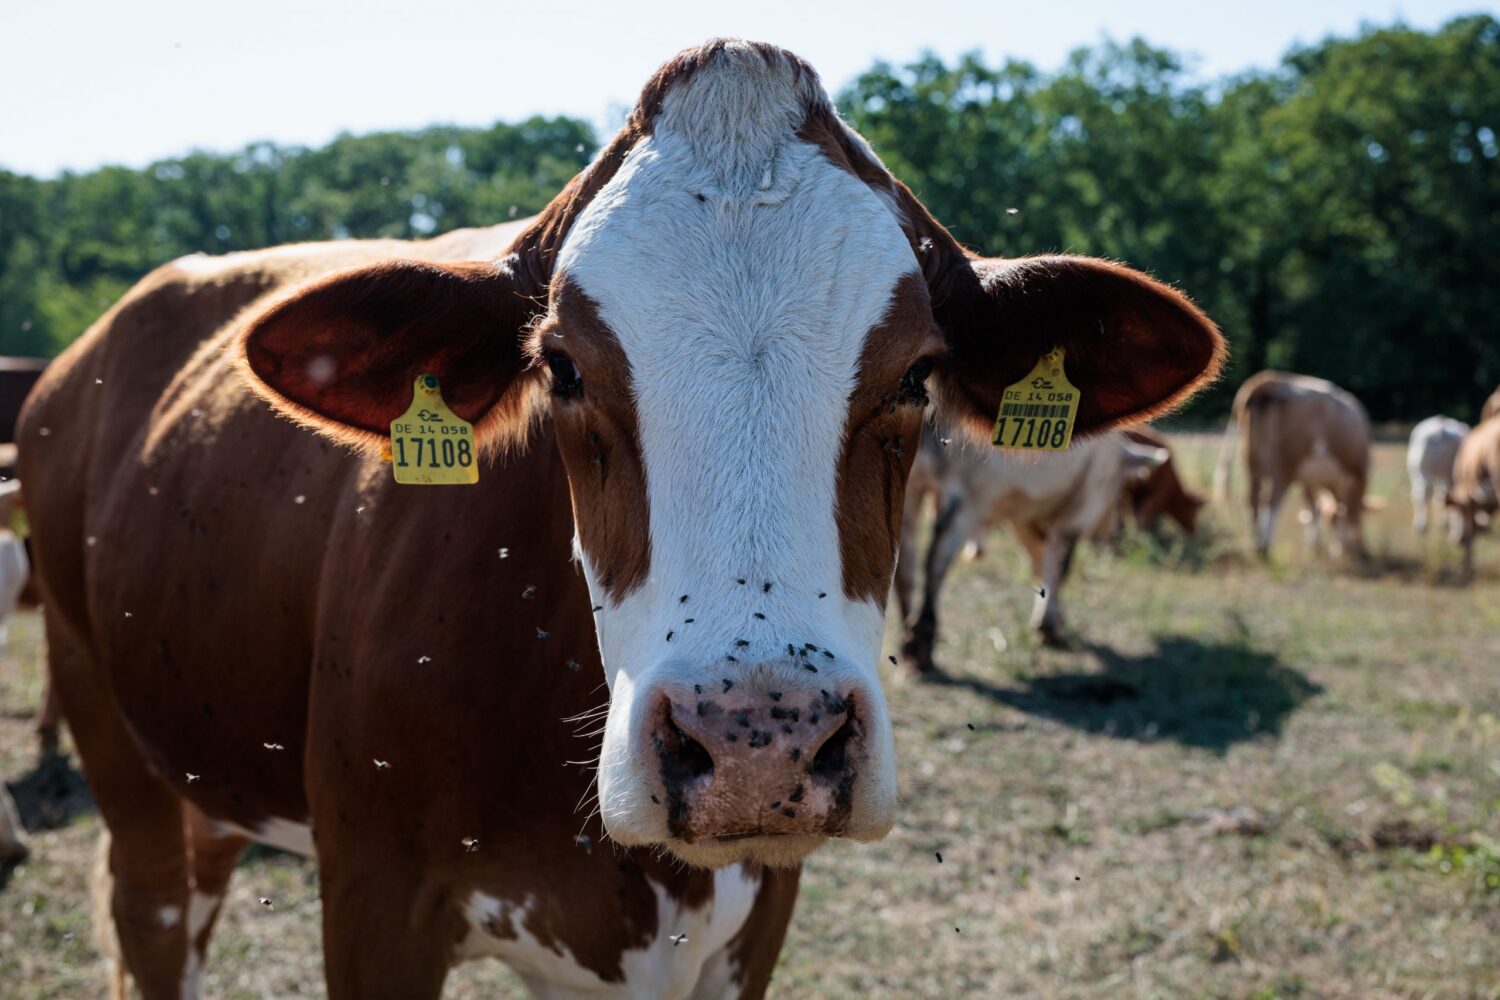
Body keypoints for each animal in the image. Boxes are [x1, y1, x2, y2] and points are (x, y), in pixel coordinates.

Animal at [896, 428, 1169, 664]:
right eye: (1119, 488)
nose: (1113, 531)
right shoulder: (1078, 510)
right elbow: (1060, 566)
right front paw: (1049, 628)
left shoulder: (1025, 516)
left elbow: (1040, 564)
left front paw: (1052, 619)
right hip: (971, 493)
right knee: (937, 560)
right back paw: (922, 644)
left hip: (913, 483)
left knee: (904, 562)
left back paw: (907, 639)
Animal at [1213, 370, 1370, 559]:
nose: (1357, 550)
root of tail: (1267, 381)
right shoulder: (1358, 474)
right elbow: (1347, 514)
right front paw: (1342, 550)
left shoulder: (1309, 481)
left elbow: (1314, 510)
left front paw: (1316, 548)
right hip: (1285, 466)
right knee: (1273, 502)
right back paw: (1265, 547)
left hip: (1253, 462)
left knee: (1254, 499)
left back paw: (1254, 544)